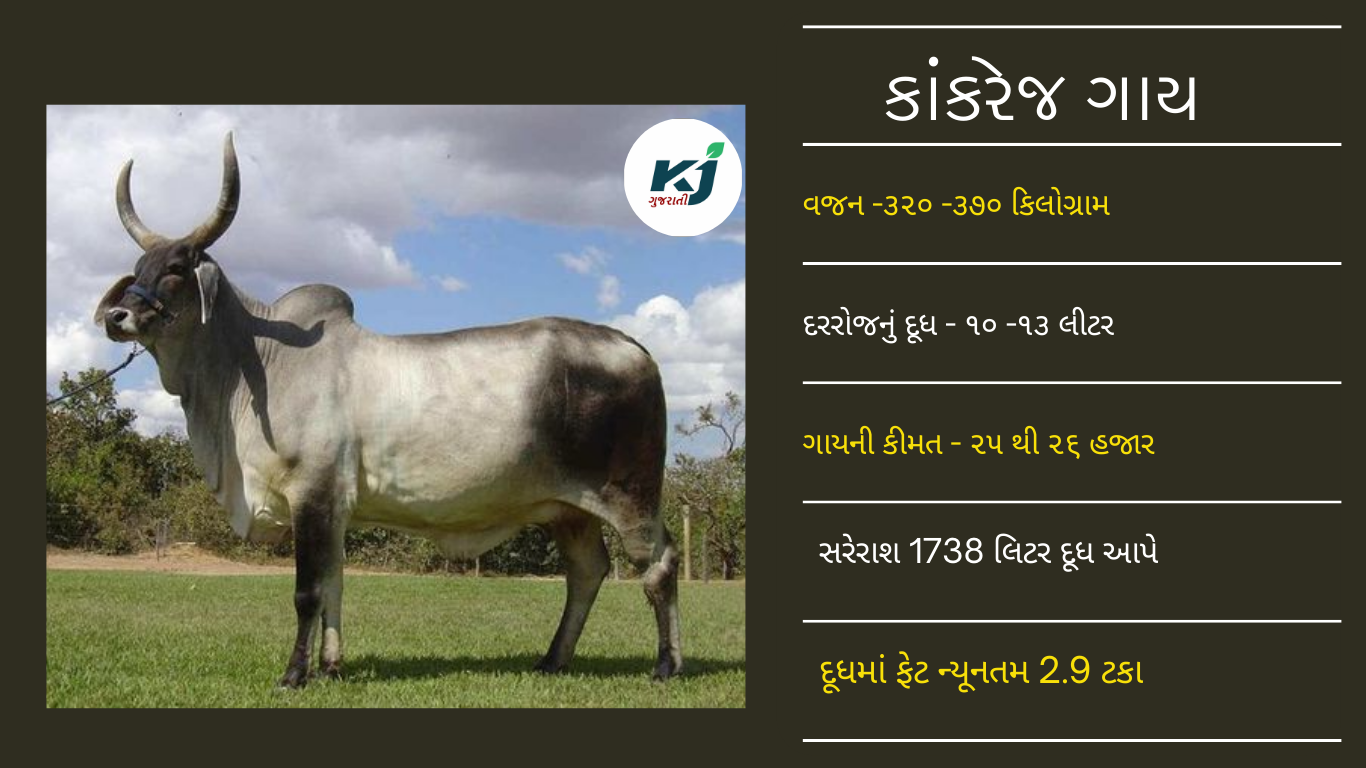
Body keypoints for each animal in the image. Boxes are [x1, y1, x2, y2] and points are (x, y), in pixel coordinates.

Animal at [94, 134, 682, 688]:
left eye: (176, 268)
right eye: (137, 267)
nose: (117, 317)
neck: (253, 364)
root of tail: (634, 346)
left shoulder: (312, 493)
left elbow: (308, 591)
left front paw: (294, 674)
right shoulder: (335, 507)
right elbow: (334, 584)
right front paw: (330, 667)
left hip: (630, 496)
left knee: (658, 564)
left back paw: (666, 665)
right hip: (567, 508)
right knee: (587, 571)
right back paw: (553, 659)